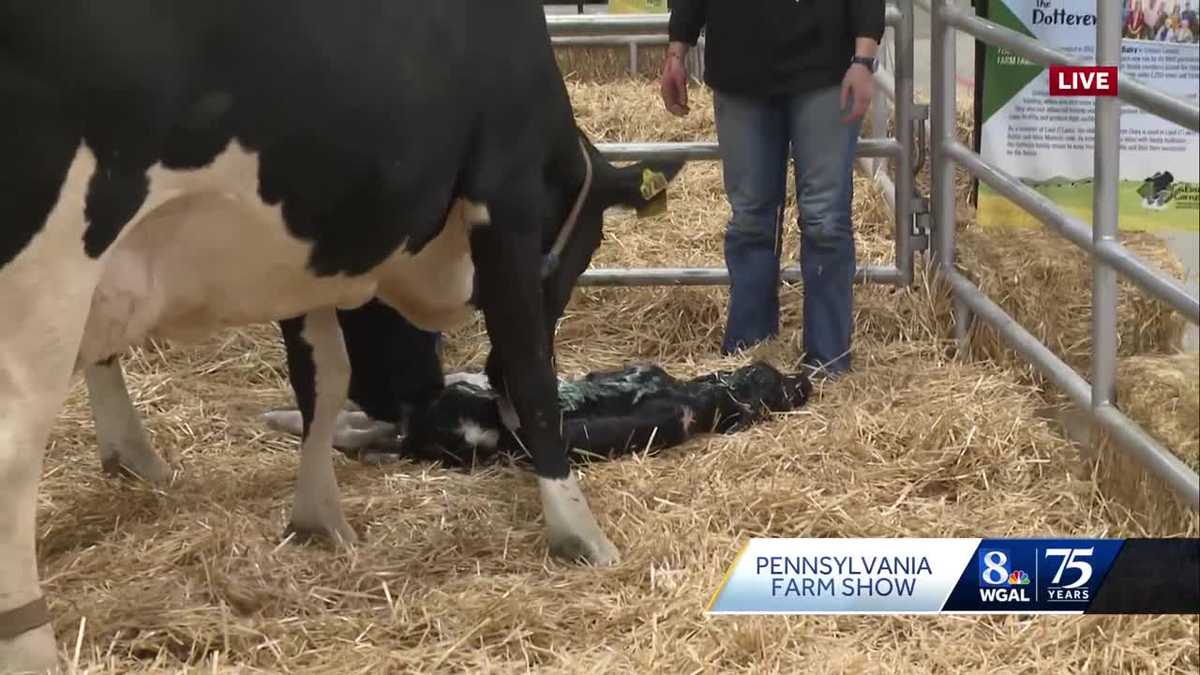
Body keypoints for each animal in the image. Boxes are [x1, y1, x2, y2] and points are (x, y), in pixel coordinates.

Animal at [0, 2, 683, 670]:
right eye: (591, 244)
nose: (425, 392)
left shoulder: (304, 254)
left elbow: (323, 378)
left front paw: (318, 517)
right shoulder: (504, 192)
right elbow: (531, 371)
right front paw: (579, 531)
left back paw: (135, 456)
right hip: (49, 264)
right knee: (13, 456)